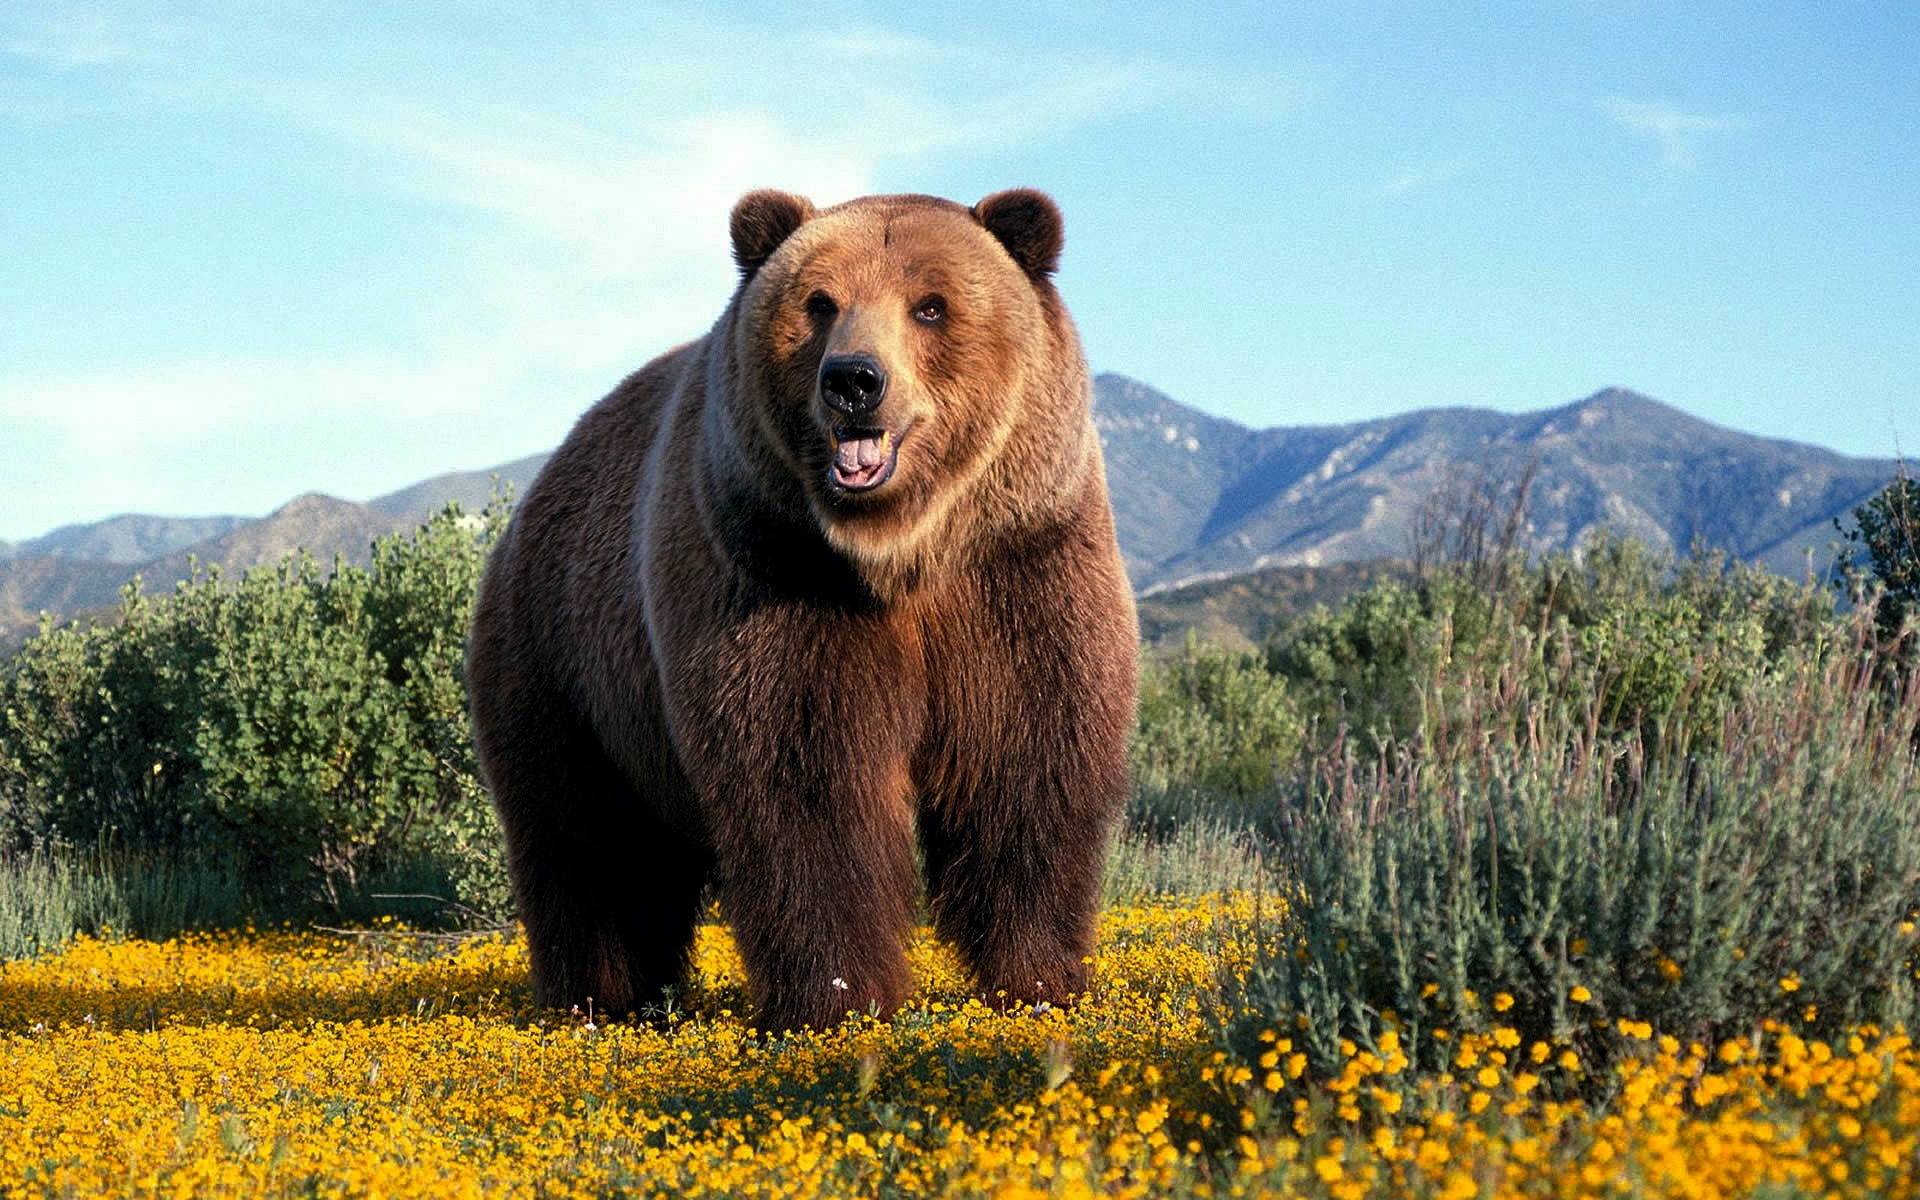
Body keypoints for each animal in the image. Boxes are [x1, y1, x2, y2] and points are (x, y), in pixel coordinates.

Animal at [465, 187, 1138, 1033]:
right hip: (565, 665)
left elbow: (1027, 762)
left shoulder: (1019, 568)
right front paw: (839, 998)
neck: (901, 551)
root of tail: (532, 497)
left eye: (931, 305)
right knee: (589, 842)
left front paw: (1039, 980)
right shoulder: (775, 573)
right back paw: (599, 998)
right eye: (820, 303)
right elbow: (807, 781)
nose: (854, 379)